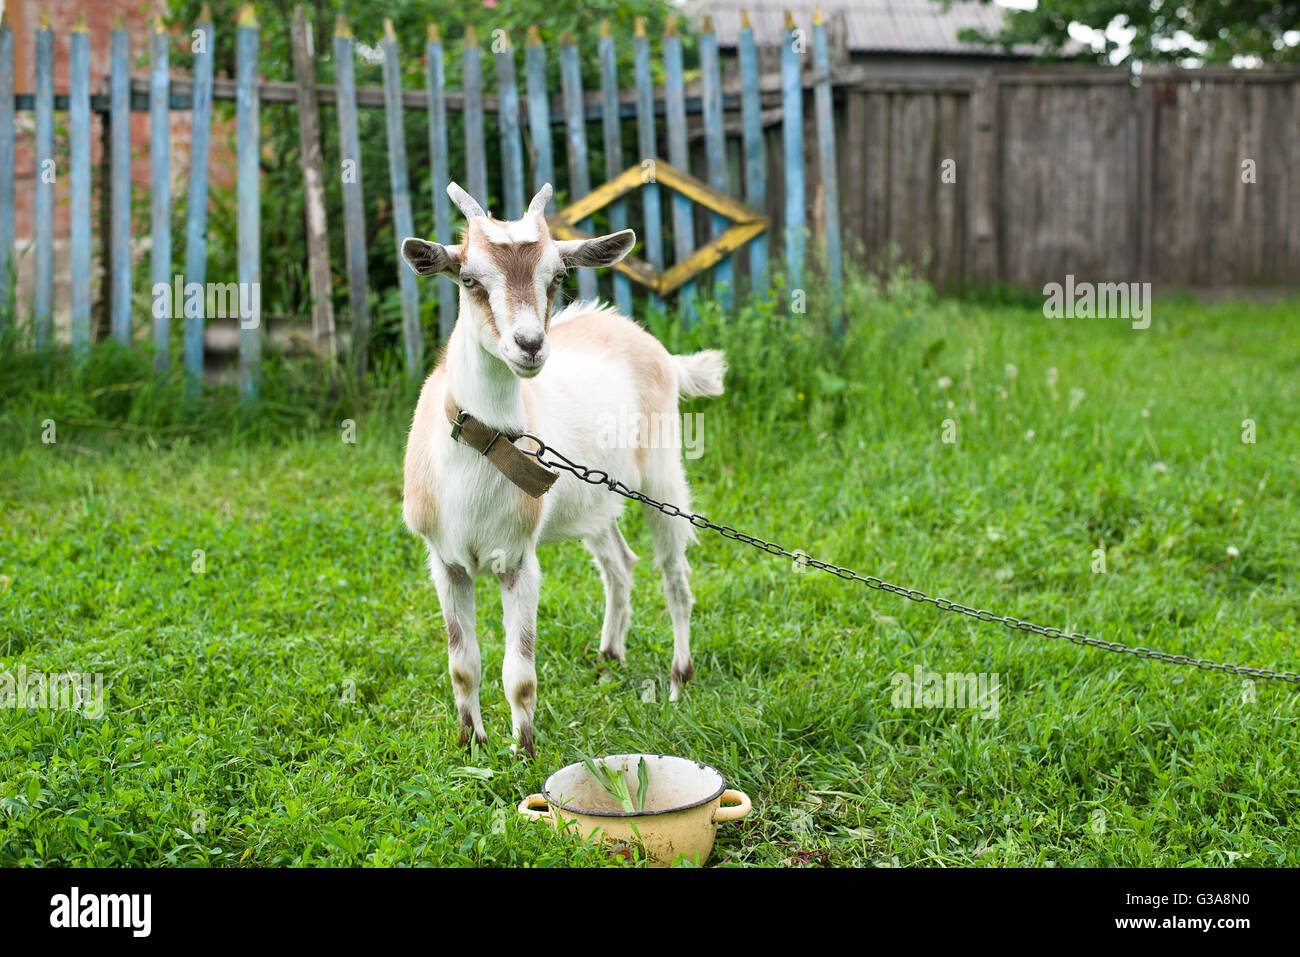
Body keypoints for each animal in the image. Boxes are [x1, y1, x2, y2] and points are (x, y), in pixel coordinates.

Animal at [400, 182, 726, 757]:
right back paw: (609, 658)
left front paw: (525, 751)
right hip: (596, 499)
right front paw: (471, 744)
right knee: (620, 563)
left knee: (675, 575)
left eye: (557, 276)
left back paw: (677, 679)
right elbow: (463, 666)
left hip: (663, 477)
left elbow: (519, 672)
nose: (529, 345)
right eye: (468, 278)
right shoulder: (445, 562)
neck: (481, 456)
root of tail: (656, 347)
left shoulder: (519, 560)